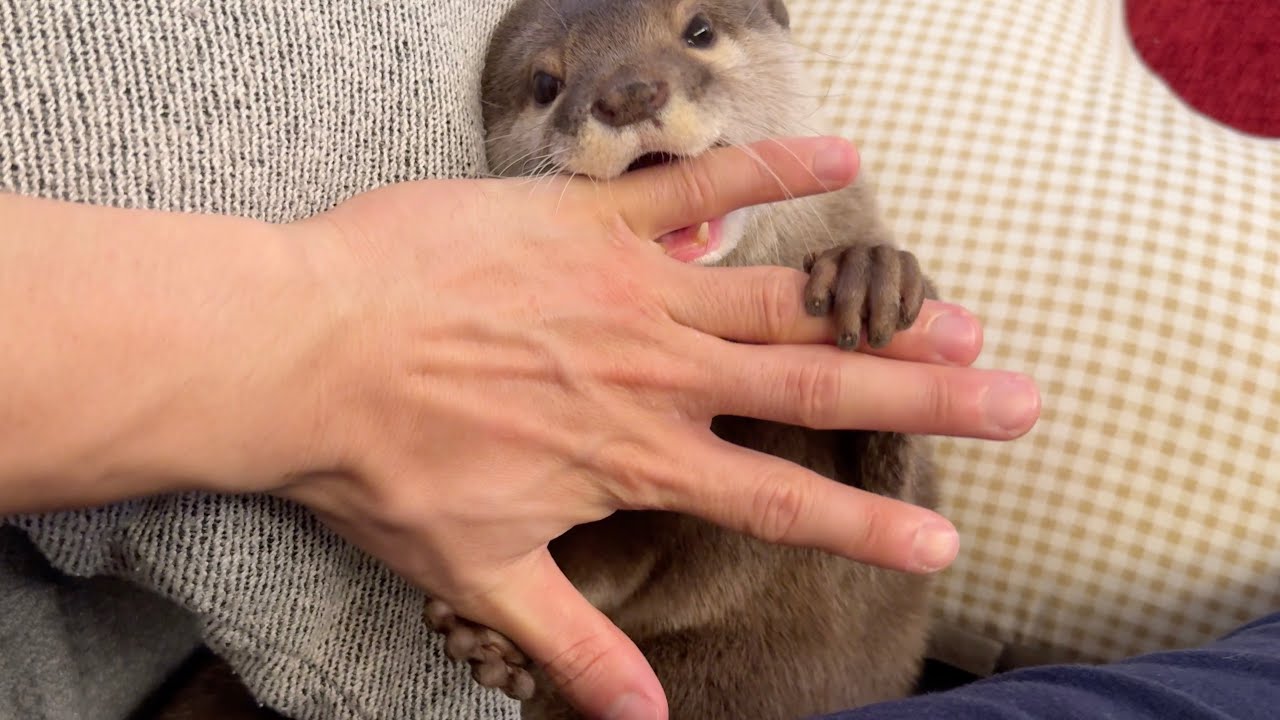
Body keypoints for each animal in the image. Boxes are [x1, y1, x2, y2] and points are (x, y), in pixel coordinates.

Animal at [423, 1, 945, 719]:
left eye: (699, 29)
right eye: (544, 84)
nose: (628, 94)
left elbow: (892, 484)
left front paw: (866, 272)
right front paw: (488, 632)